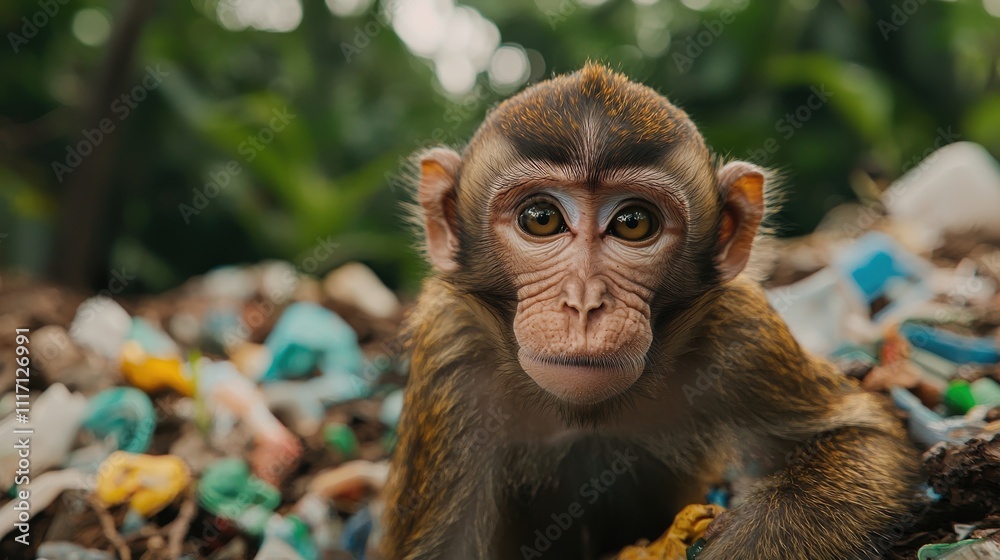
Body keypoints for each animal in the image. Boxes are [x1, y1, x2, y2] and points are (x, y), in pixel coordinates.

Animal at [379, 63, 921, 560]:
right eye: (541, 218)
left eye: (633, 223)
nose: (583, 303)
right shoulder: (452, 357)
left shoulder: (742, 333)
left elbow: (858, 435)